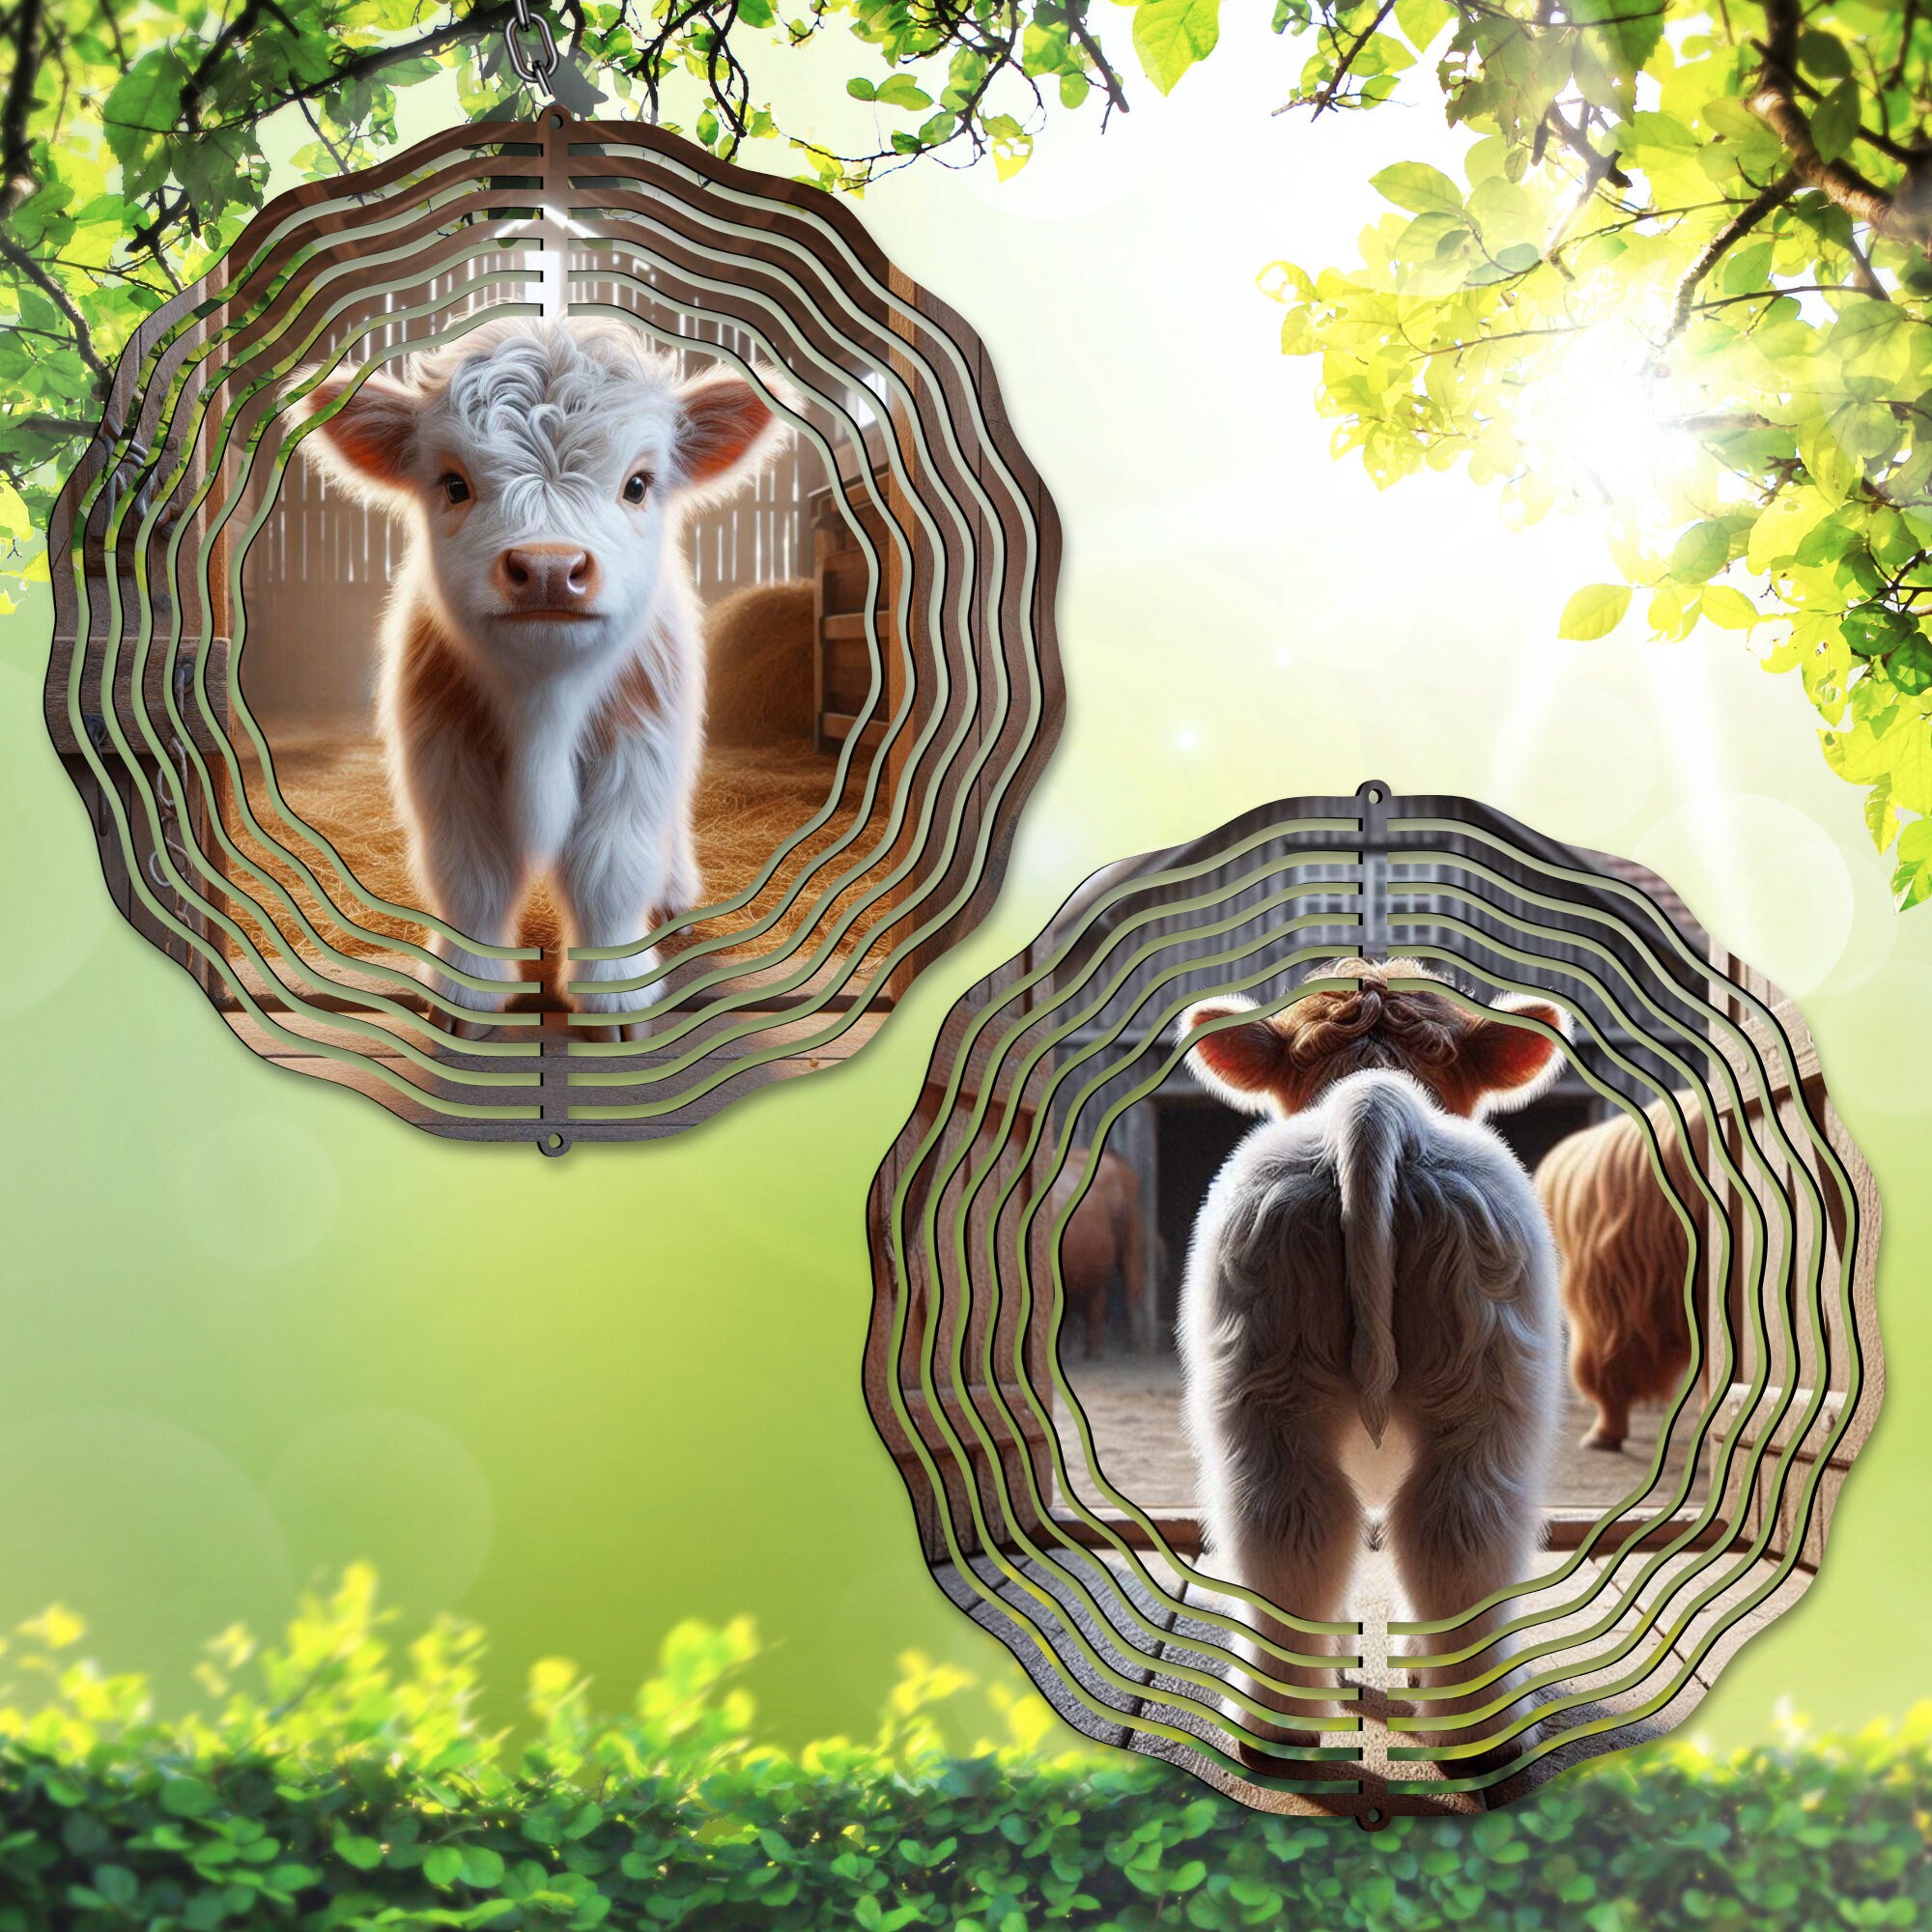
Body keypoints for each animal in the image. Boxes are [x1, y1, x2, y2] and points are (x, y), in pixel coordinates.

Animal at [294, 319, 792, 1038]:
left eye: (638, 484)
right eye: (454, 484)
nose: (550, 568)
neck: (544, 703)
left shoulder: (638, 739)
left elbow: (612, 869)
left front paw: (616, 1001)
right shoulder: (445, 750)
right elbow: (470, 873)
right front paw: (465, 997)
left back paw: (674, 895)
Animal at [1176, 958, 1570, 1766]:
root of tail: (1376, 1105)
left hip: (1267, 1371)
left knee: (1296, 1530)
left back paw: (1280, 1729)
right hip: (1487, 1381)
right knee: (1454, 1534)